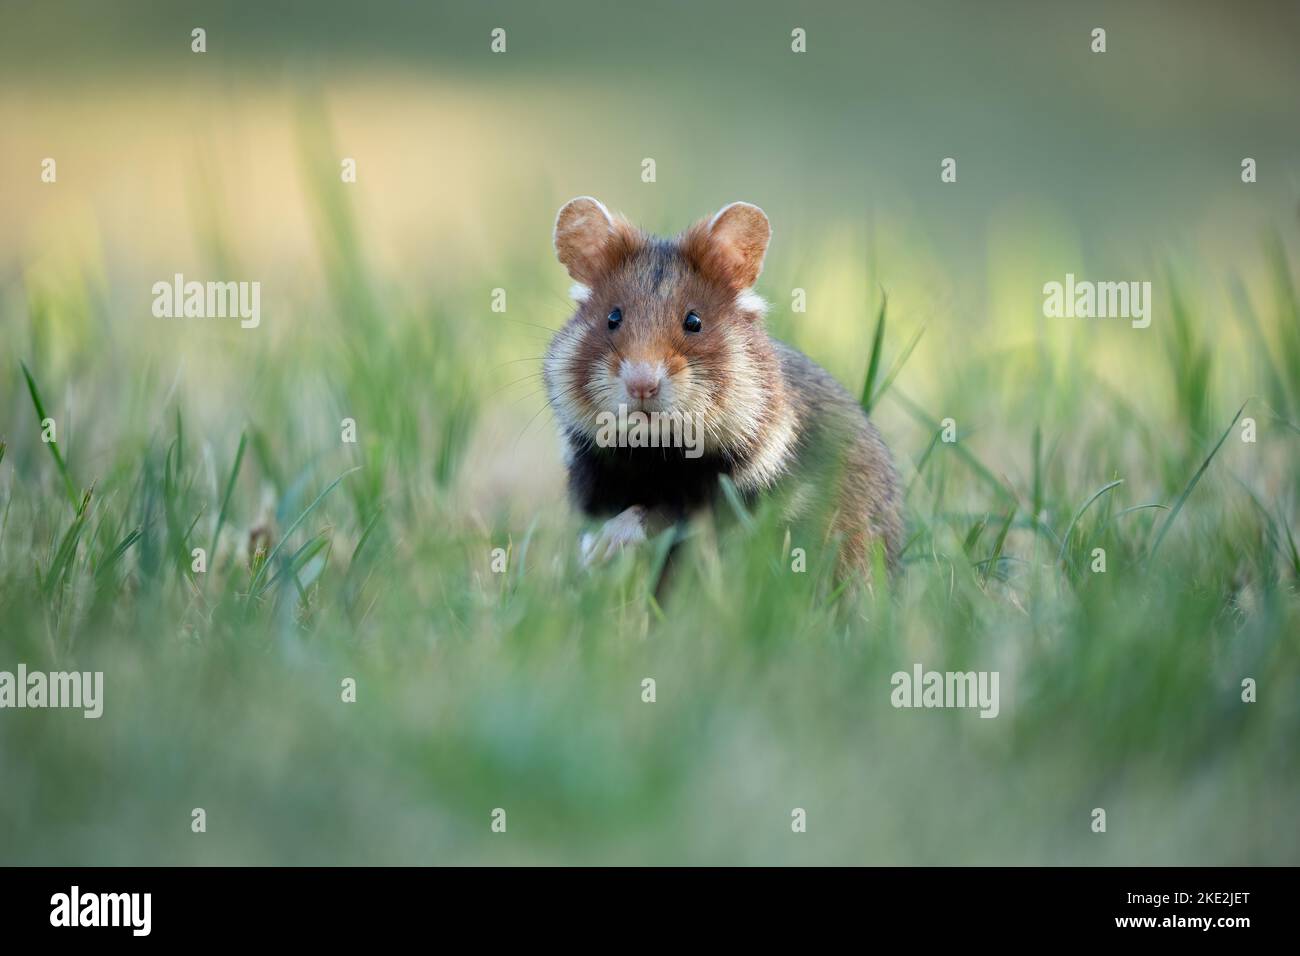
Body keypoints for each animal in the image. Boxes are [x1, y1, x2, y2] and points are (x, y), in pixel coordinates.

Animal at [543, 197, 903, 575]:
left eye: (694, 321)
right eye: (613, 318)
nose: (642, 385)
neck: (653, 450)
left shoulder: (731, 492)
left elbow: (656, 514)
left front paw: (604, 546)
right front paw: (589, 555)